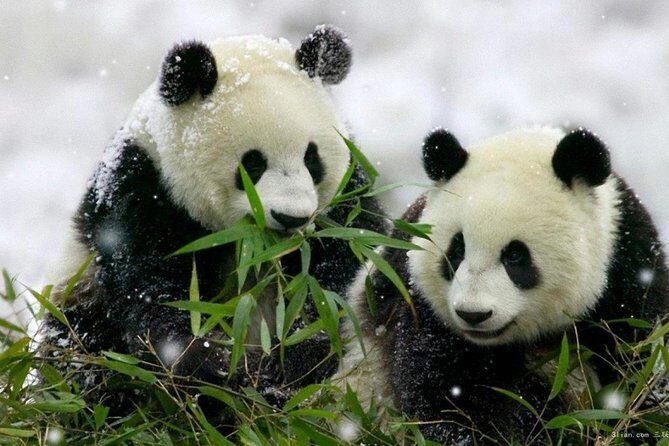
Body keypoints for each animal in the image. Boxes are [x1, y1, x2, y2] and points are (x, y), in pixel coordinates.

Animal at [39, 25, 386, 413]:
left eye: (312, 159)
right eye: (252, 164)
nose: (291, 217)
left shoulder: (346, 202)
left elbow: (339, 279)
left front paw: (286, 366)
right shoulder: (142, 193)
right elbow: (156, 296)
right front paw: (216, 371)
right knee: (81, 359)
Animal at [336, 126, 669, 444]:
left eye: (515, 256)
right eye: (457, 249)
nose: (473, 314)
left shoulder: (627, 266)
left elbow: (641, 359)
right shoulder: (420, 302)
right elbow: (445, 388)